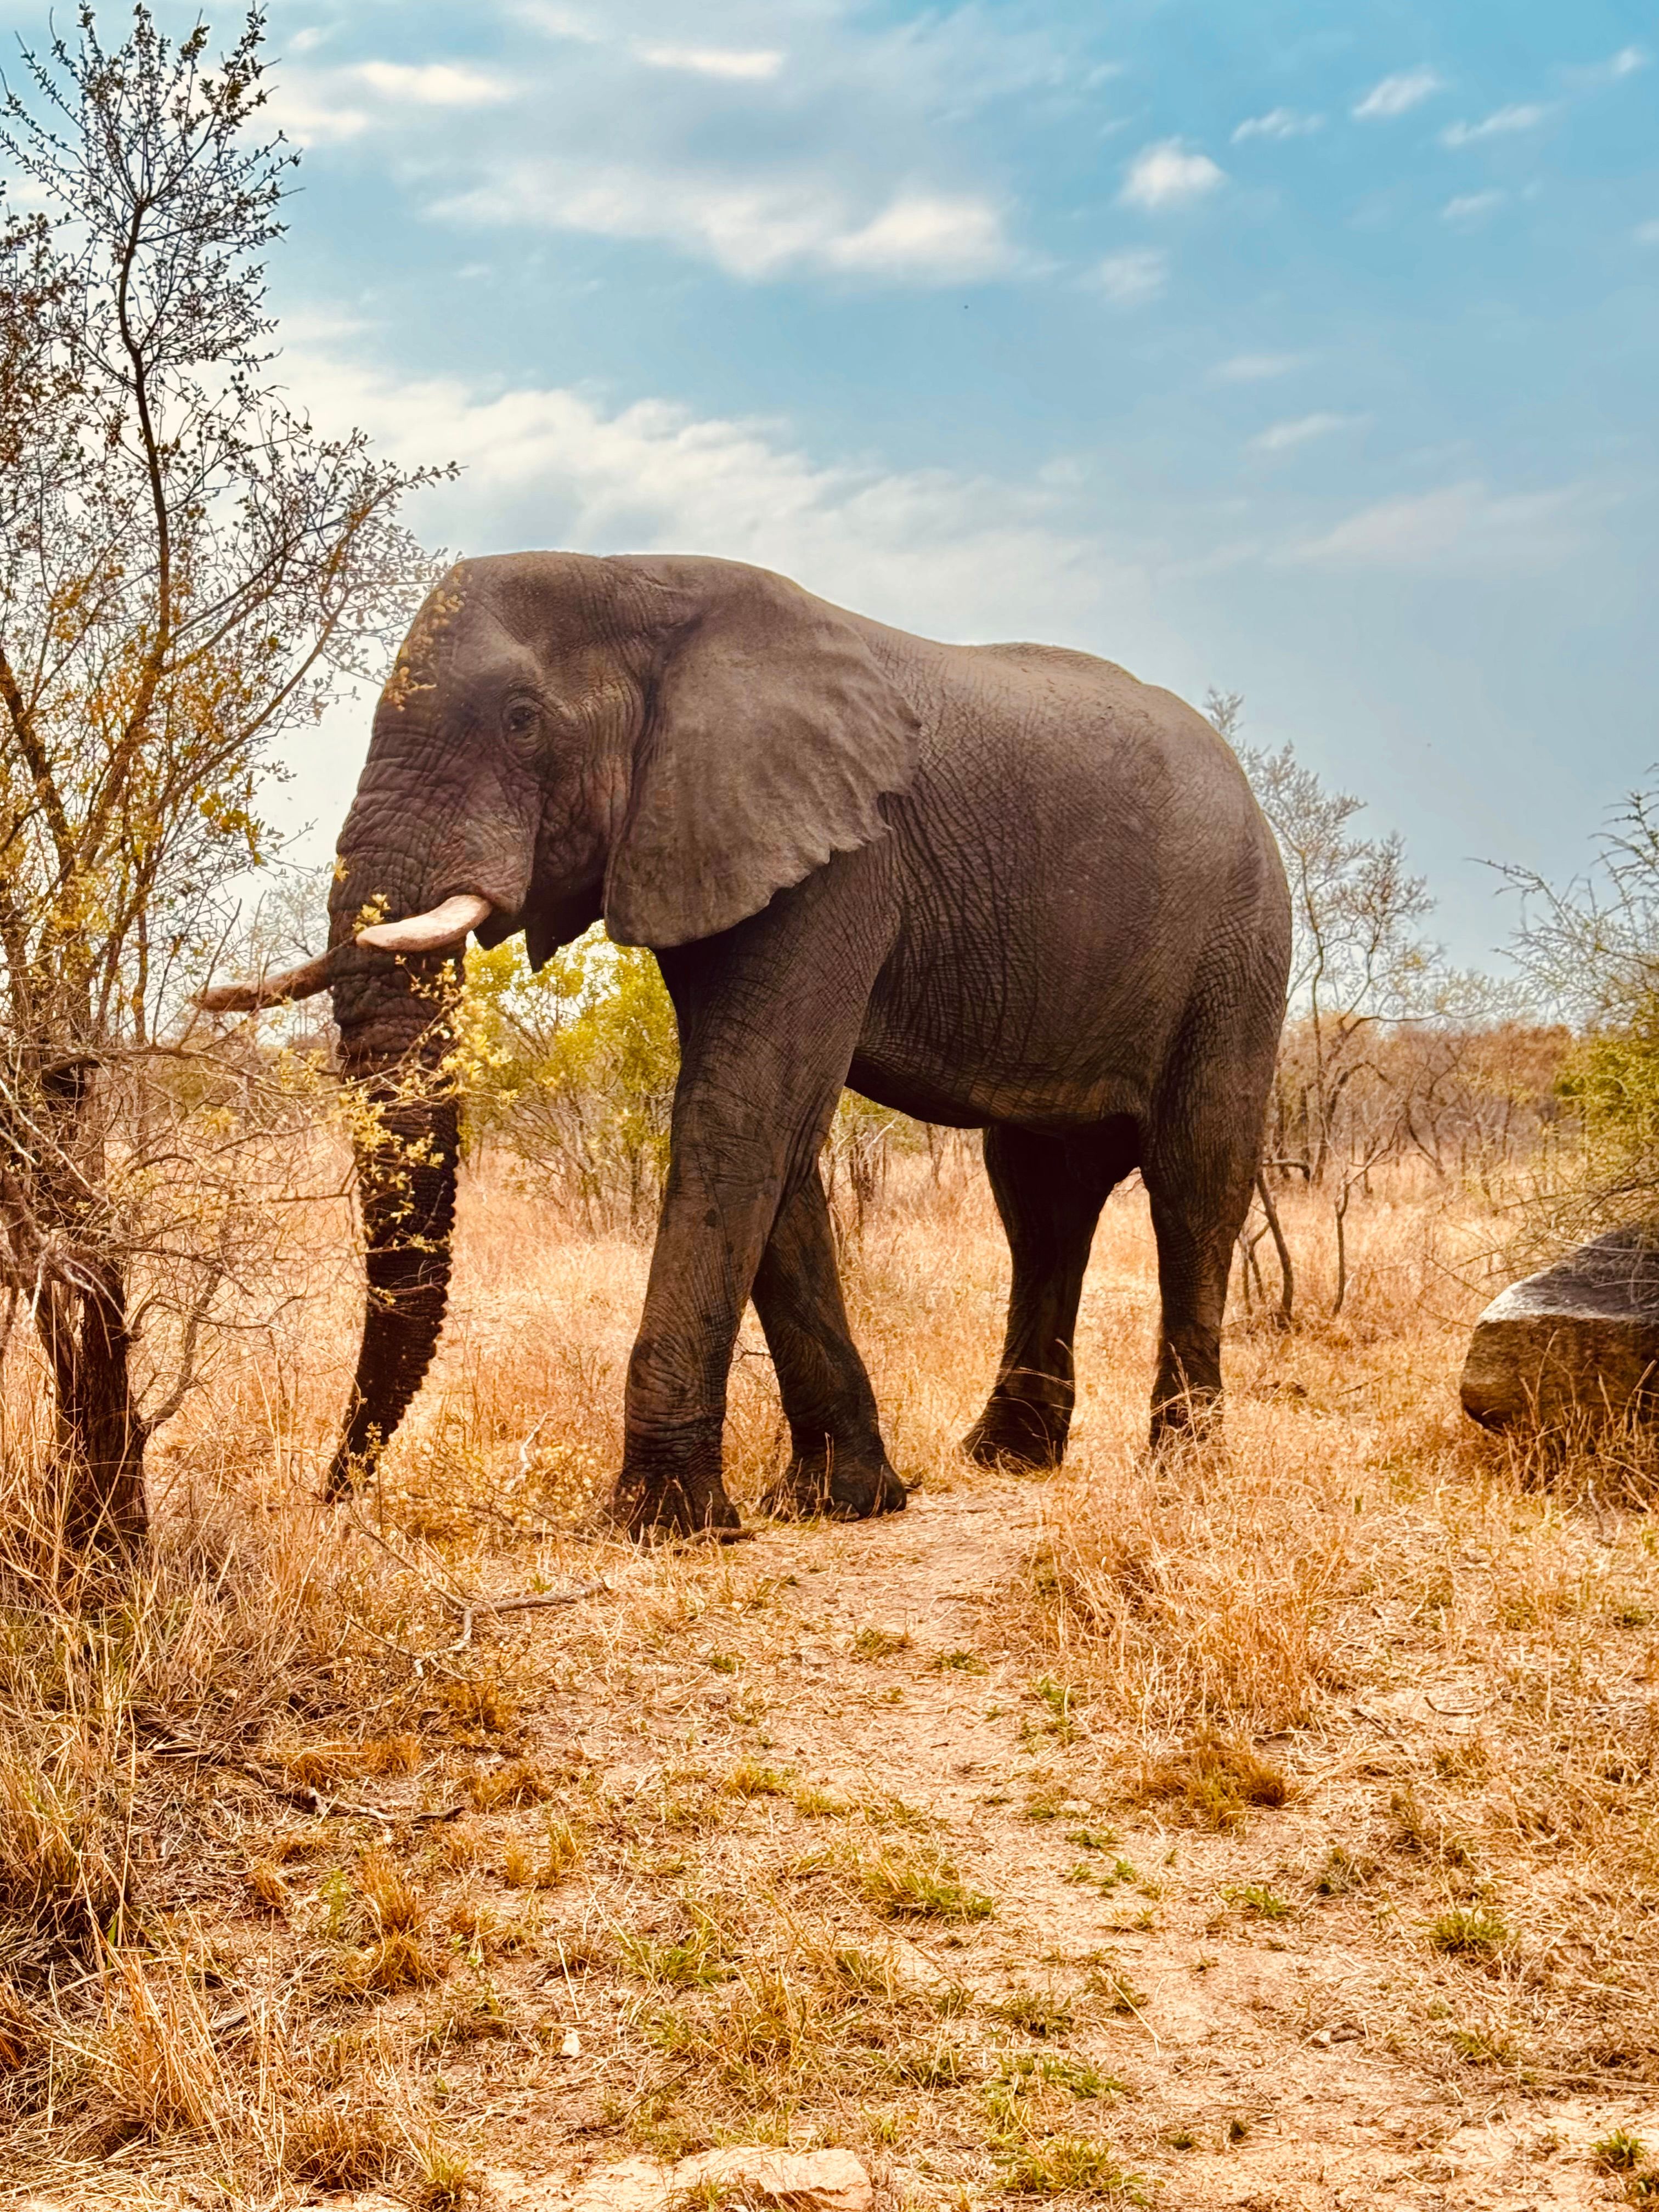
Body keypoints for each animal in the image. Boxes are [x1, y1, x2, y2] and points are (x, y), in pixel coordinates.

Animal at [203, 552, 1290, 1537]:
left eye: (521, 720)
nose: (333, 1499)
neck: (643, 582)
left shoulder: (842, 859)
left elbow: (742, 1112)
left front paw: (663, 1522)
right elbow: (772, 1135)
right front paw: (843, 1501)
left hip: (1239, 944)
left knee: (1194, 1178)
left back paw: (1182, 1472)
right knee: (1040, 1199)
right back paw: (1008, 1459)